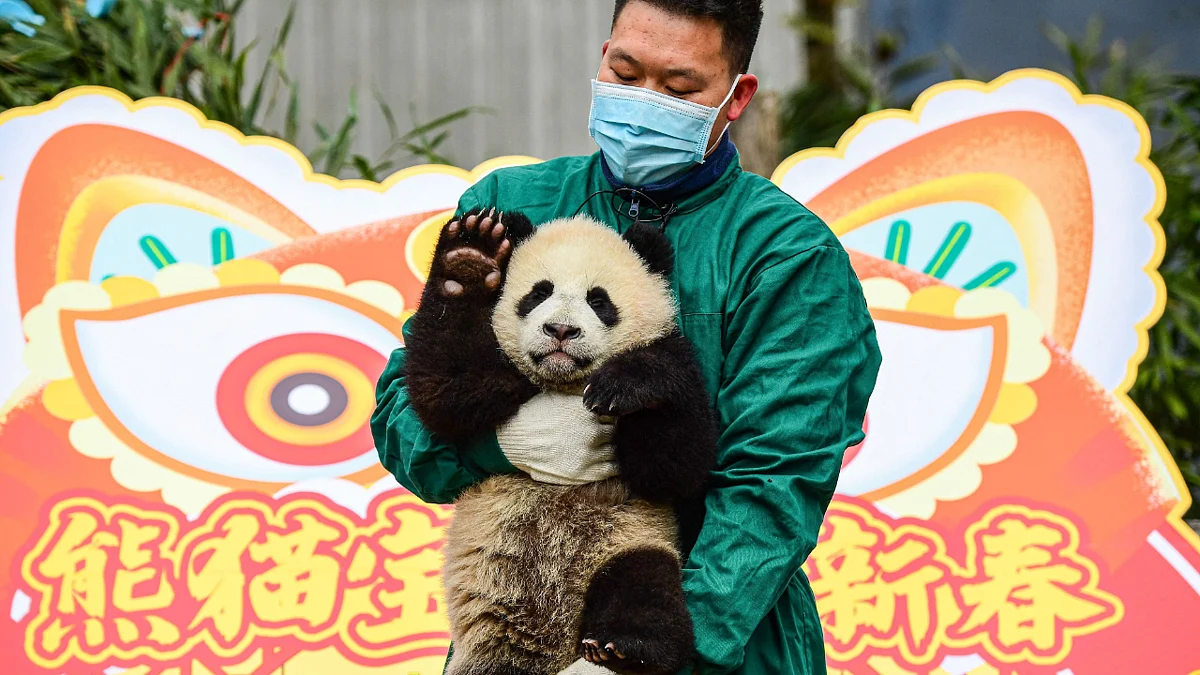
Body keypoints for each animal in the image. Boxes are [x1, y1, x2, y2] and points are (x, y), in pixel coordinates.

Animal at [402, 207, 719, 675]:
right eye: (538, 293)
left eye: (599, 301)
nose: (561, 330)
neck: (565, 383)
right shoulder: (482, 377)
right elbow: (447, 385)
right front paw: (470, 261)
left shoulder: (674, 363)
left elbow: (674, 466)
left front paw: (627, 382)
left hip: (627, 541)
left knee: (643, 585)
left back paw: (625, 648)